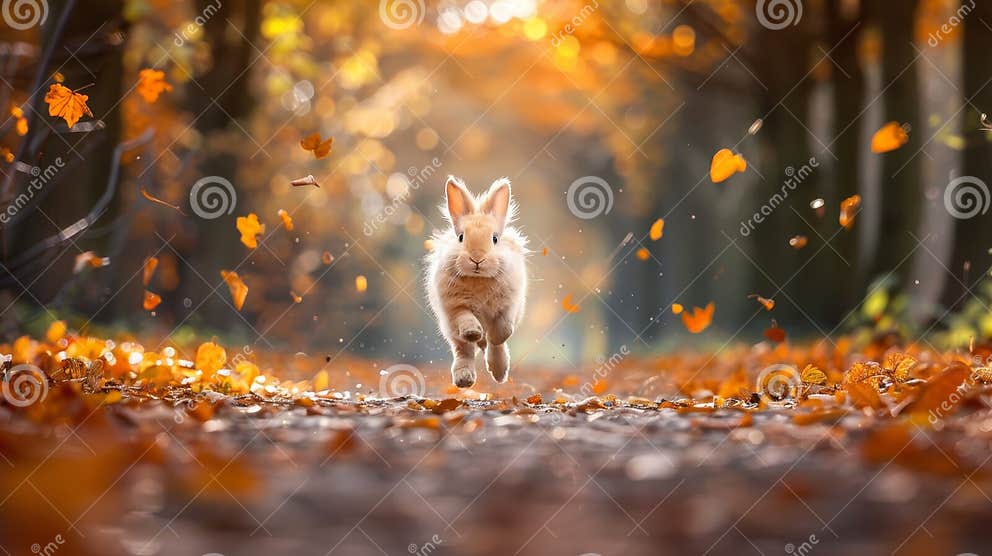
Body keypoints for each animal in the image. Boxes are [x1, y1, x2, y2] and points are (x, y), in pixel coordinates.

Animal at [426, 176, 528, 388]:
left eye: (495, 239)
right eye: (461, 237)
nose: (477, 259)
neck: (479, 278)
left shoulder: (509, 306)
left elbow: (503, 330)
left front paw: (494, 337)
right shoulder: (455, 307)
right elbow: (466, 320)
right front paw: (473, 332)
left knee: (495, 347)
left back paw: (499, 371)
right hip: (452, 333)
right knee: (463, 352)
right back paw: (464, 378)